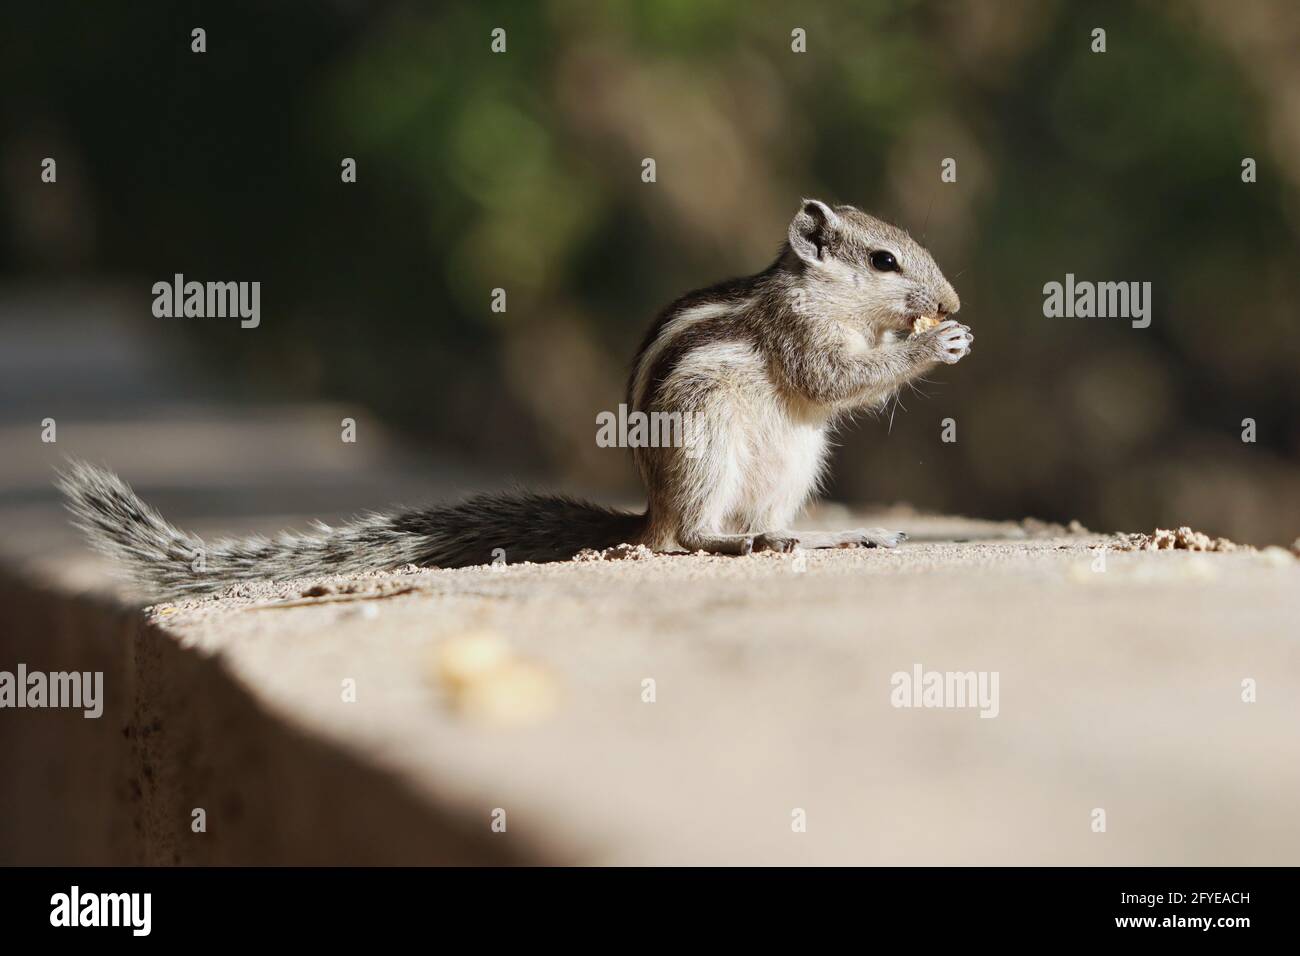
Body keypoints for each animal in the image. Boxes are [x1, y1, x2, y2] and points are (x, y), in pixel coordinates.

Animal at [60, 199, 970, 599]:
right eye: (885, 261)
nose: (953, 301)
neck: (821, 294)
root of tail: (650, 506)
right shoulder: (795, 334)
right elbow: (830, 379)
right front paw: (935, 344)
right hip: (706, 439)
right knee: (688, 539)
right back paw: (735, 541)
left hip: (793, 464)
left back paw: (817, 537)